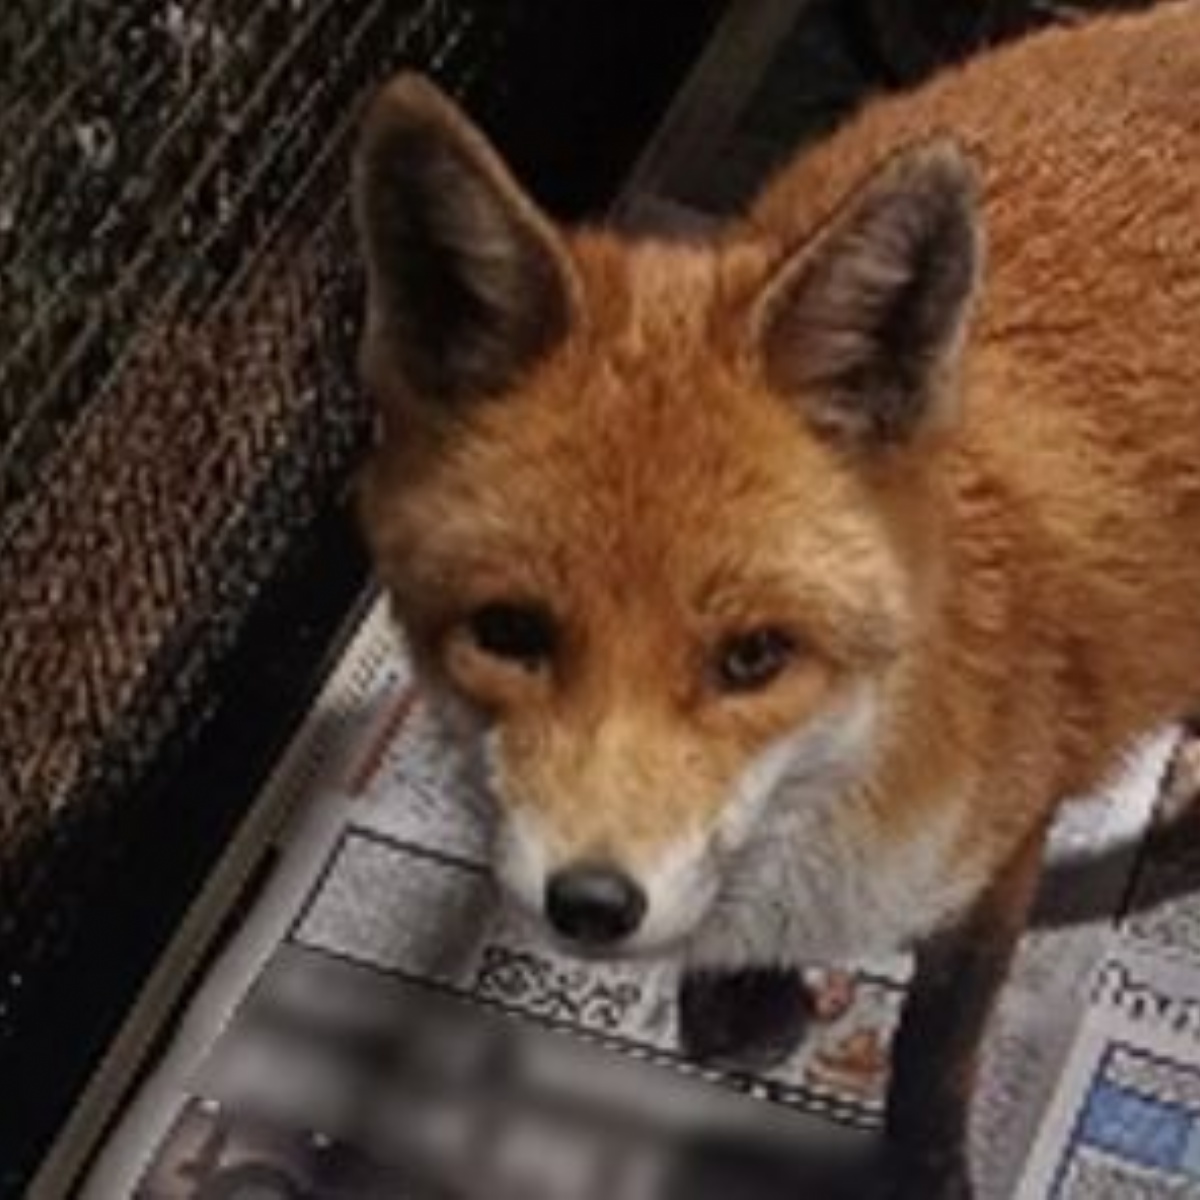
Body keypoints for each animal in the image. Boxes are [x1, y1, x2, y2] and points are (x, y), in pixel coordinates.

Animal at [352, 3, 1200, 1196]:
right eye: (509, 633)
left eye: (754, 657)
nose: (593, 905)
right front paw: (736, 997)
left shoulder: (999, 849)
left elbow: (933, 1049)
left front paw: (925, 1172)